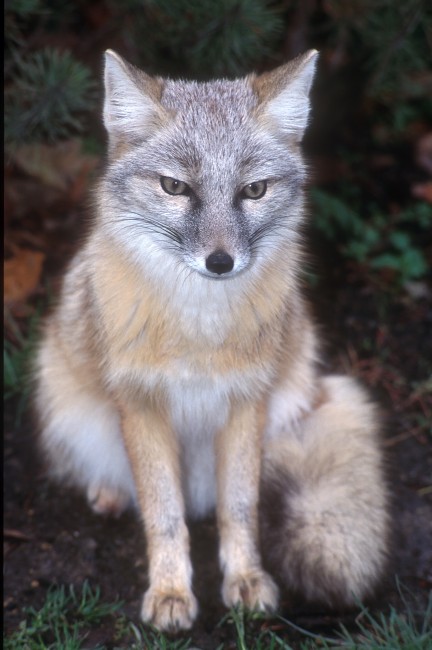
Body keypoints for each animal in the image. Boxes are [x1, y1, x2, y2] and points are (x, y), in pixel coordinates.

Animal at [35, 48, 390, 632]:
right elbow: (163, 512)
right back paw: (110, 489)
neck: (198, 333)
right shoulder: (142, 403)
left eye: (254, 190)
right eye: (175, 187)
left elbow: (239, 508)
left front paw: (245, 578)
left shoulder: (246, 401)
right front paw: (170, 590)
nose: (220, 262)